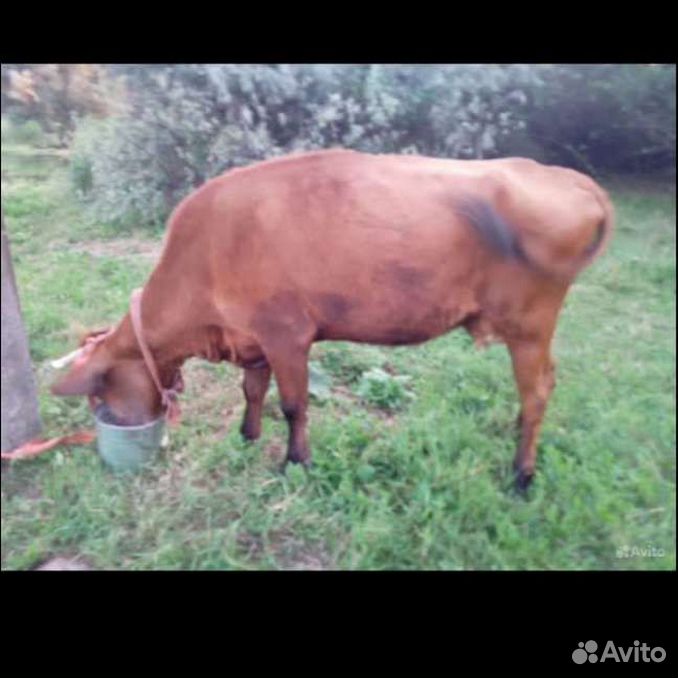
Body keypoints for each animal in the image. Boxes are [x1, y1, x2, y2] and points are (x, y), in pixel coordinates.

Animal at [51, 149, 614, 489]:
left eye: (98, 395)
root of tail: (567, 177)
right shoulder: (254, 338)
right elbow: (252, 391)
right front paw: (247, 436)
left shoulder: (287, 334)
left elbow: (294, 404)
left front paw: (294, 462)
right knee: (544, 385)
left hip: (529, 323)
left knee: (537, 390)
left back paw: (521, 475)